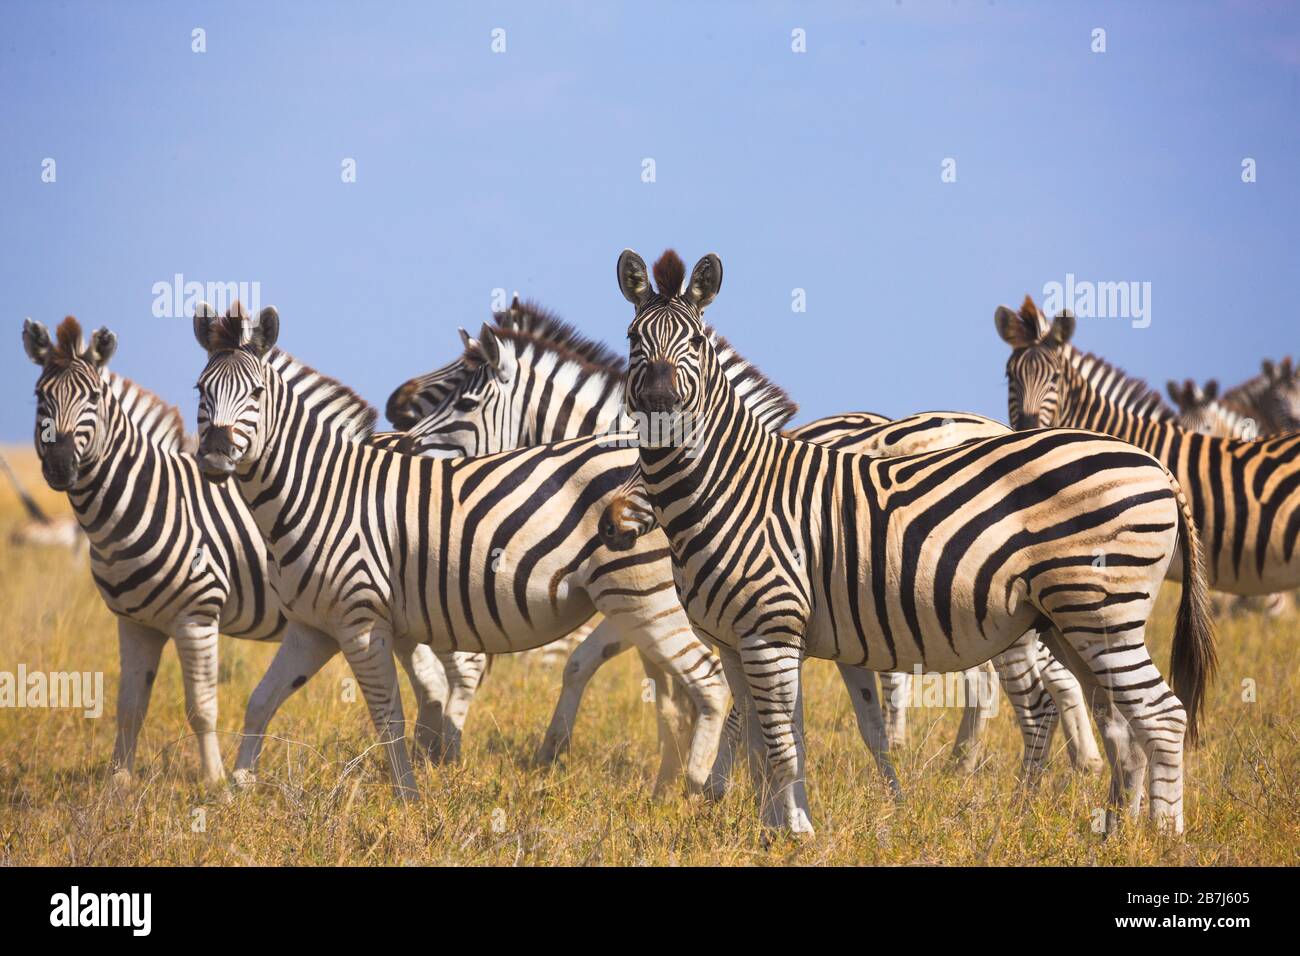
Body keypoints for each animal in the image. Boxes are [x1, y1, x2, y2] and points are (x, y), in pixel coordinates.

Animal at [21, 316, 453, 789]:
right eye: (40, 397)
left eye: (94, 398)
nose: (59, 466)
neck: (148, 499)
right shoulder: (135, 623)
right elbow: (129, 708)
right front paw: (118, 788)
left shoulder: (197, 614)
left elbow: (201, 707)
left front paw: (214, 785)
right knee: (433, 683)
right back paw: (432, 762)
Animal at [191, 303, 730, 799]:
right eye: (201, 390)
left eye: (257, 393)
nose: (216, 451)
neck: (318, 491)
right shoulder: (312, 627)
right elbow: (261, 701)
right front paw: (236, 794)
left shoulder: (361, 621)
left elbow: (389, 718)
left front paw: (407, 797)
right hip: (637, 605)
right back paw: (676, 790)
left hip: (646, 597)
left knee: (709, 682)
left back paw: (693, 794)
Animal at [408, 322, 1104, 783]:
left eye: (463, 400)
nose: (402, 440)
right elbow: (601, 667)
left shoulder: (673, 602)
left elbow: (698, 690)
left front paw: (709, 777)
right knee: (1041, 680)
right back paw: (1057, 769)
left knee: (1027, 689)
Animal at [616, 248, 1215, 835]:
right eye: (632, 337)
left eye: (696, 342)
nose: (660, 400)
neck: (733, 484)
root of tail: (1157, 466)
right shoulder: (738, 642)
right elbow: (768, 747)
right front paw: (770, 833)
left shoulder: (771, 630)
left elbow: (782, 748)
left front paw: (796, 833)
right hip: (1070, 623)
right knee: (1120, 724)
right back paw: (1111, 831)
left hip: (1102, 610)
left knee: (1162, 716)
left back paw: (1161, 836)